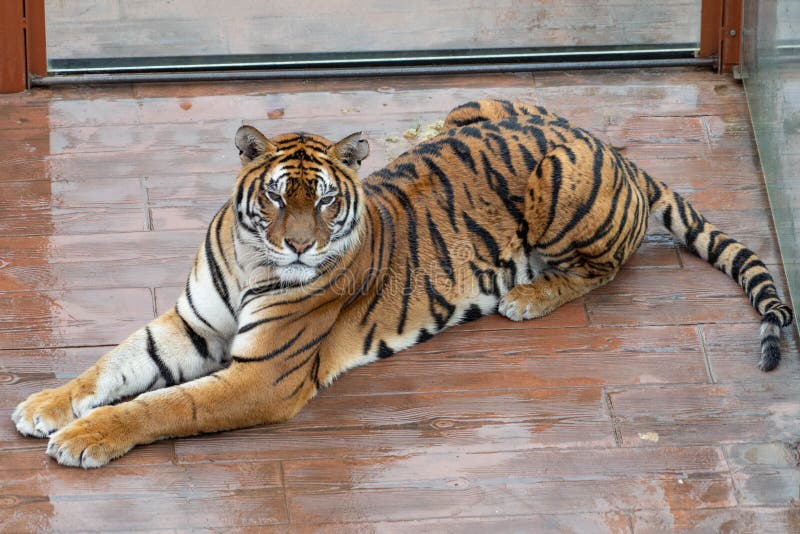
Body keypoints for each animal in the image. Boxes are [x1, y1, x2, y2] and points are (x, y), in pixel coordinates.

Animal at [12, 99, 794, 468]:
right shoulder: (190, 325)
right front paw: (44, 406)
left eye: (327, 201)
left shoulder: (262, 375)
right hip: (474, 107)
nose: (300, 245)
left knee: (607, 266)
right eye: (277, 196)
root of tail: (612, 147)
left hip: (560, 186)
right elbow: (111, 365)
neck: (253, 258)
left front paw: (85, 439)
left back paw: (527, 295)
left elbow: (165, 405)